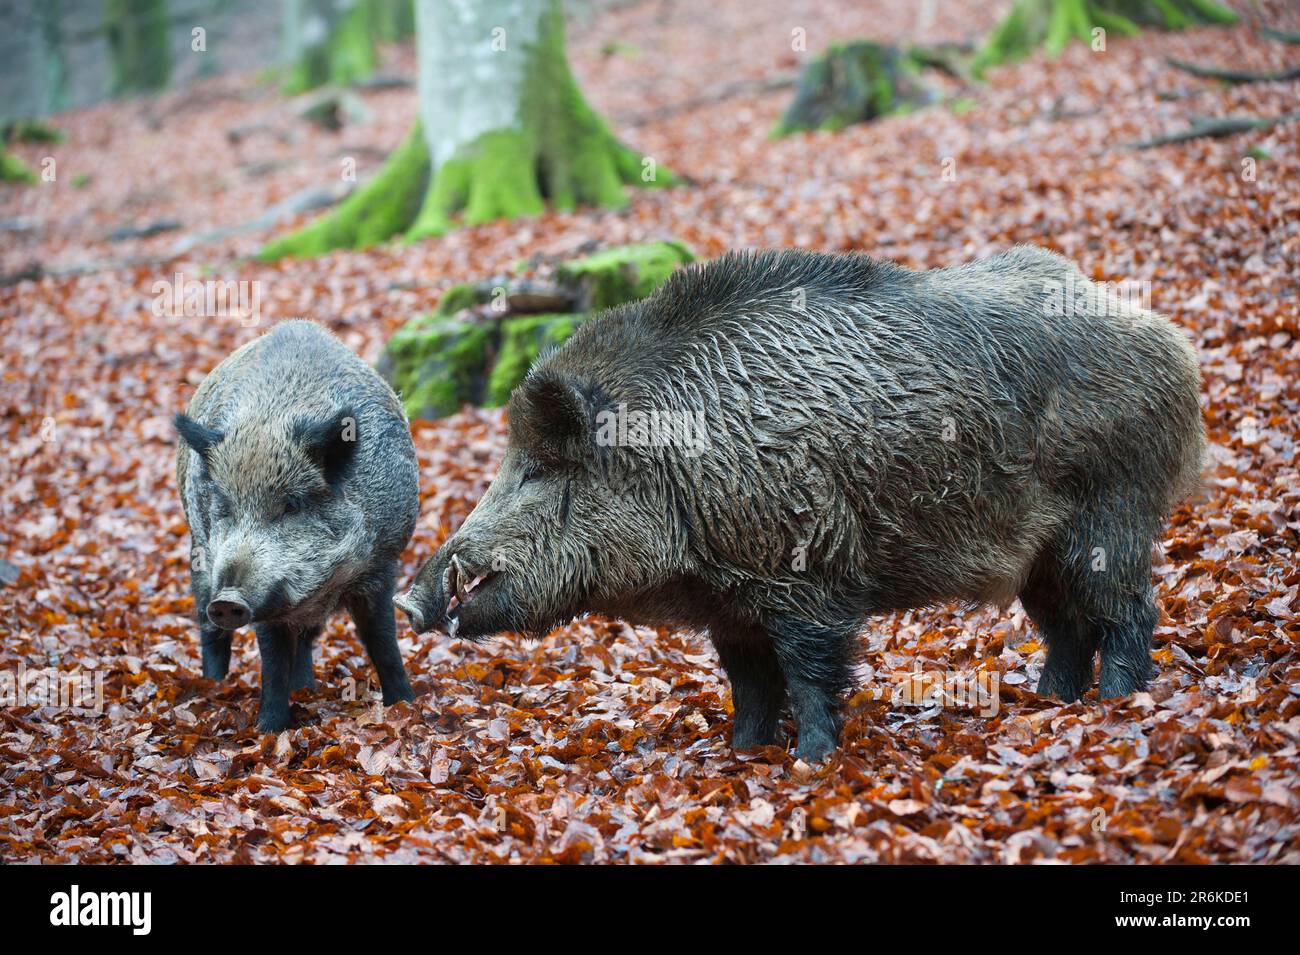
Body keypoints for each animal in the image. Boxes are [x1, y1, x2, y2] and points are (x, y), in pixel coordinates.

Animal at [176, 320, 419, 732]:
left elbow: (382, 640)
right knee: (210, 629)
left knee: (306, 637)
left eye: (291, 505)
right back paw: (214, 687)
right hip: (199, 554)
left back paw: (307, 689)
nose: (229, 601)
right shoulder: (261, 598)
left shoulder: (381, 563)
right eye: (225, 506)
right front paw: (269, 728)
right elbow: (272, 658)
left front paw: (406, 705)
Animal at [395, 247, 1205, 761]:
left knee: (1129, 611)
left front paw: (812, 762)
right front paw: (743, 752)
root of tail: (1170, 341)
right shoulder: (732, 605)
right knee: (1067, 625)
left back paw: (1116, 706)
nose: (409, 599)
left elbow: (813, 676)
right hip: (1038, 553)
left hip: (1113, 511)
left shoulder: (807, 576)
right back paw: (1049, 704)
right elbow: (750, 685)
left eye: (538, 470)